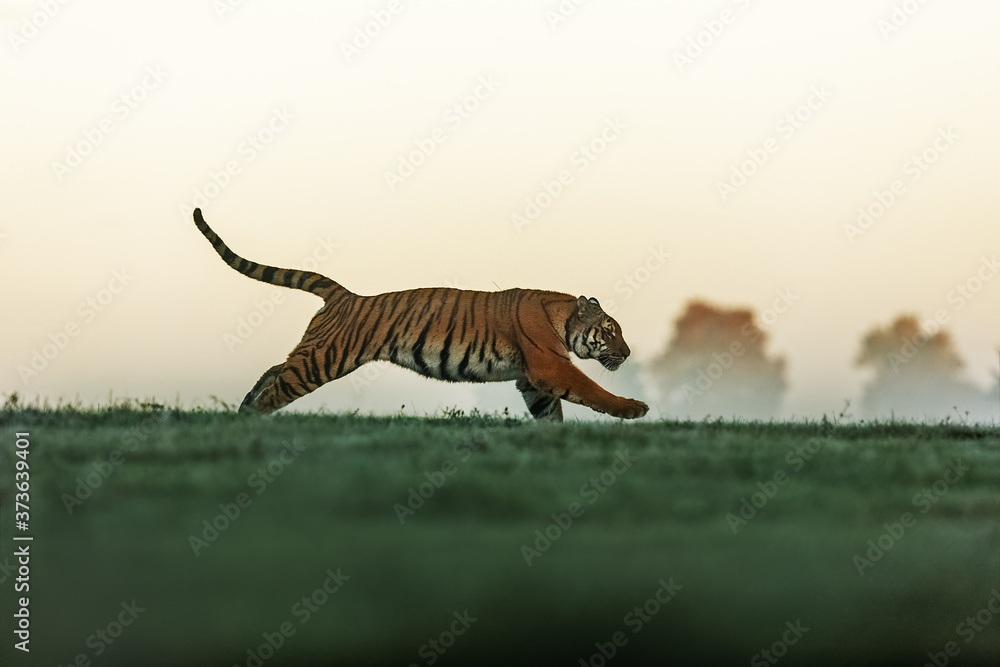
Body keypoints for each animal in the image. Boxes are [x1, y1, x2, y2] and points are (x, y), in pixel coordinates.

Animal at [192, 208, 649, 421]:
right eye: (609, 331)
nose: (627, 354)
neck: (561, 317)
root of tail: (345, 295)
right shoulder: (549, 365)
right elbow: (590, 389)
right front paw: (633, 409)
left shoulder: (530, 378)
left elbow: (550, 413)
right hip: (325, 359)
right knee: (280, 384)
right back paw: (252, 420)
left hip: (315, 352)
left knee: (273, 370)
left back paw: (243, 410)